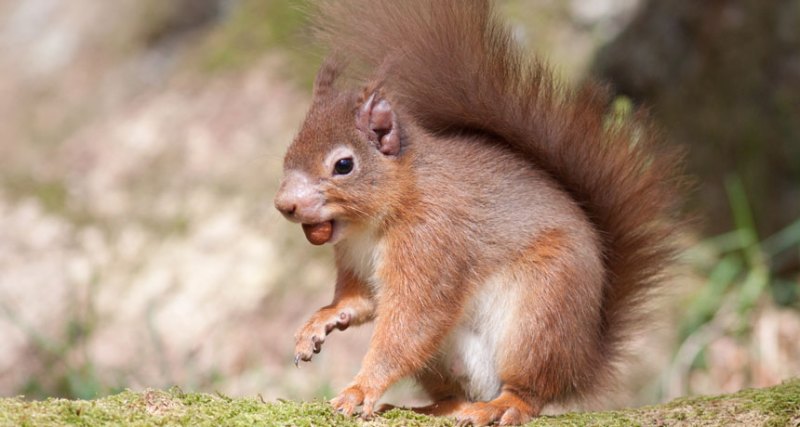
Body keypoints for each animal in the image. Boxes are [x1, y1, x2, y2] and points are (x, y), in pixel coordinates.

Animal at [273, 1, 684, 425]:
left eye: (343, 165)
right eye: (289, 151)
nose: (285, 205)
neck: (370, 225)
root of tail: (582, 365)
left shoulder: (432, 244)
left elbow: (411, 323)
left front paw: (360, 390)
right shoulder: (359, 266)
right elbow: (359, 302)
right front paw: (319, 323)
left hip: (541, 317)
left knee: (530, 393)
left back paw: (499, 406)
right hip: (447, 360)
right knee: (456, 394)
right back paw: (426, 407)